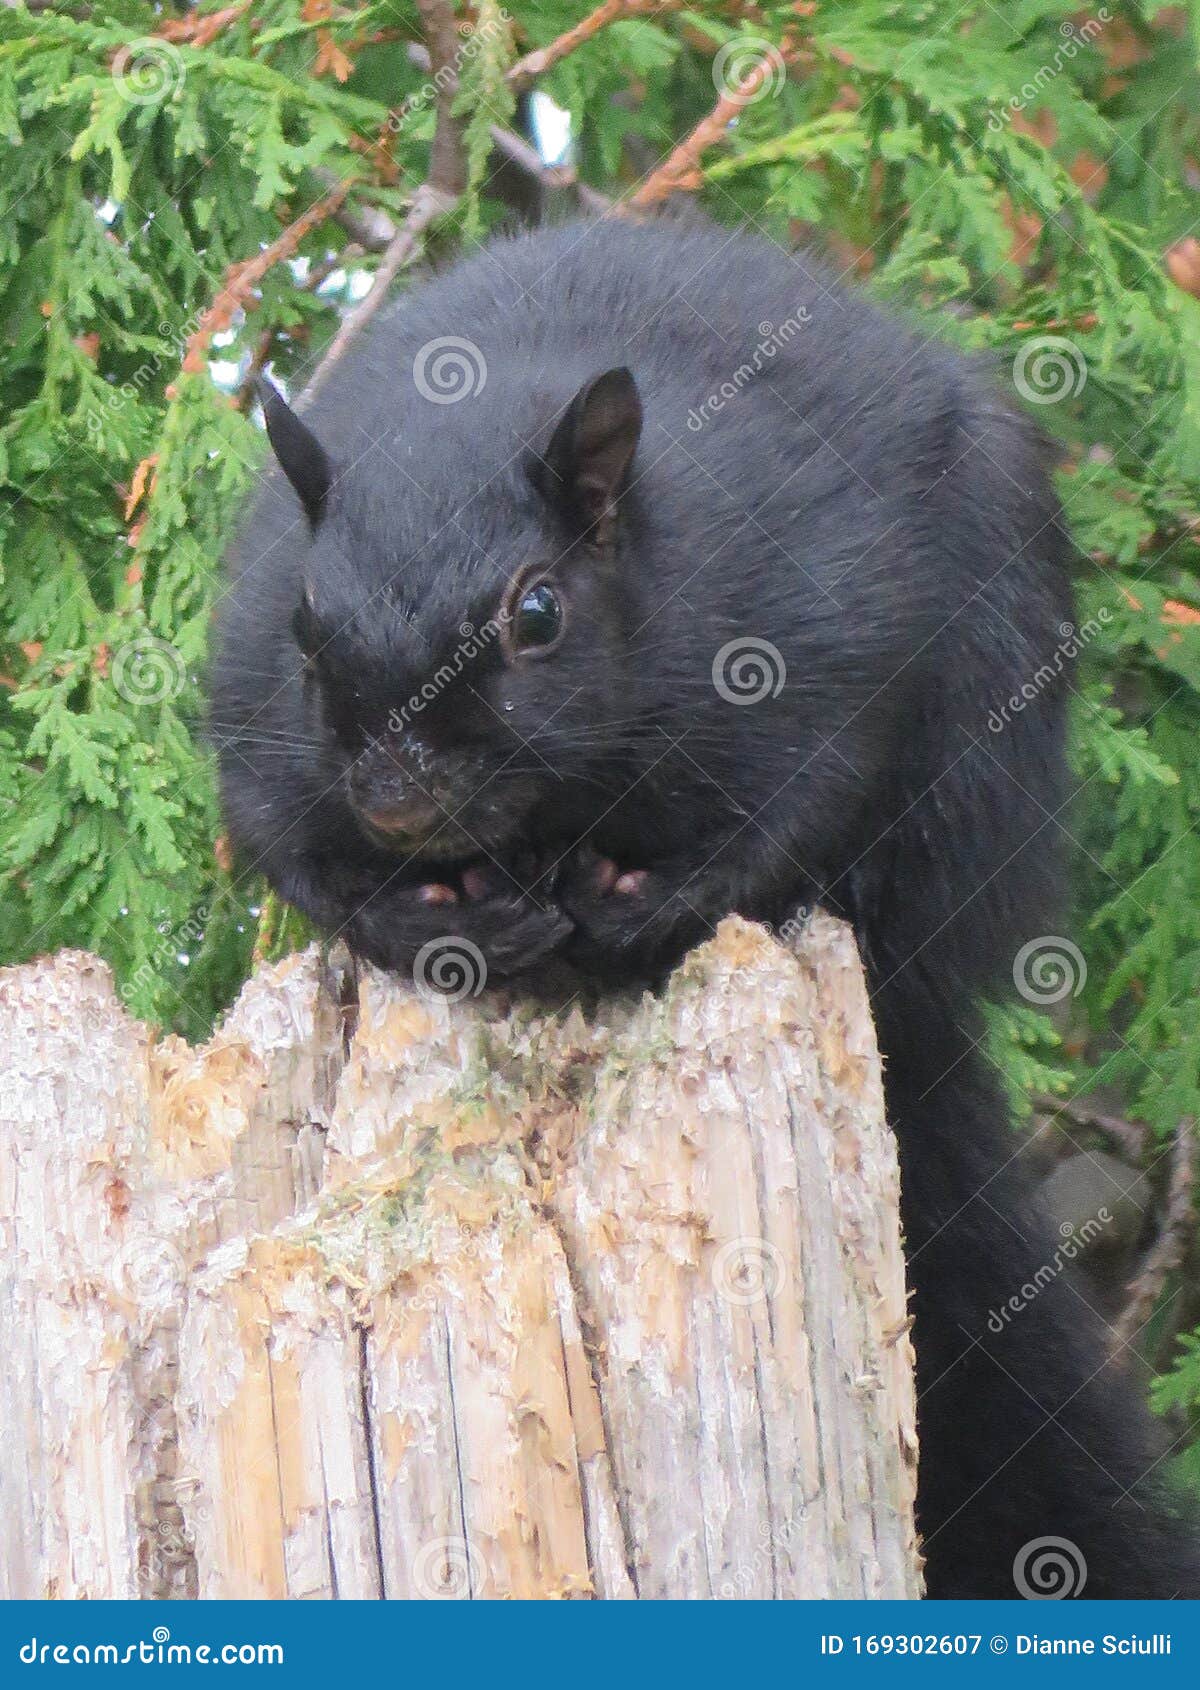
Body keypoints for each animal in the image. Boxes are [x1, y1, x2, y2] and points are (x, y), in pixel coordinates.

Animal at [212, 216, 1199, 1599]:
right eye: (307, 627)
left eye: (536, 612)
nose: (400, 797)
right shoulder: (260, 724)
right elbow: (304, 861)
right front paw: (437, 918)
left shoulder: (818, 630)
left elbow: (797, 802)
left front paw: (644, 902)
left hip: (982, 720)